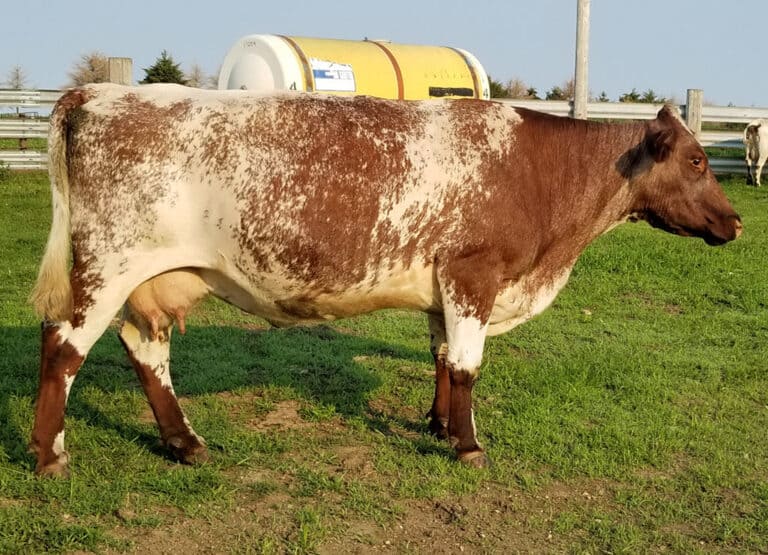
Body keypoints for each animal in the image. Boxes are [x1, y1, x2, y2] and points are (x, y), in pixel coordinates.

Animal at [29, 84, 742, 477]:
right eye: (697, 160)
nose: (735, 222)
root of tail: (95, 93)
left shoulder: (442, 285)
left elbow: (441, 356)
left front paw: (437, 424)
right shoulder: (473, 271)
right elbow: (468, 364)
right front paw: (468, 446)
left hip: (155, 278)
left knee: (145, 350)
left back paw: (185, 443)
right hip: (107, 266)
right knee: (62, 348)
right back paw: (49, 456)